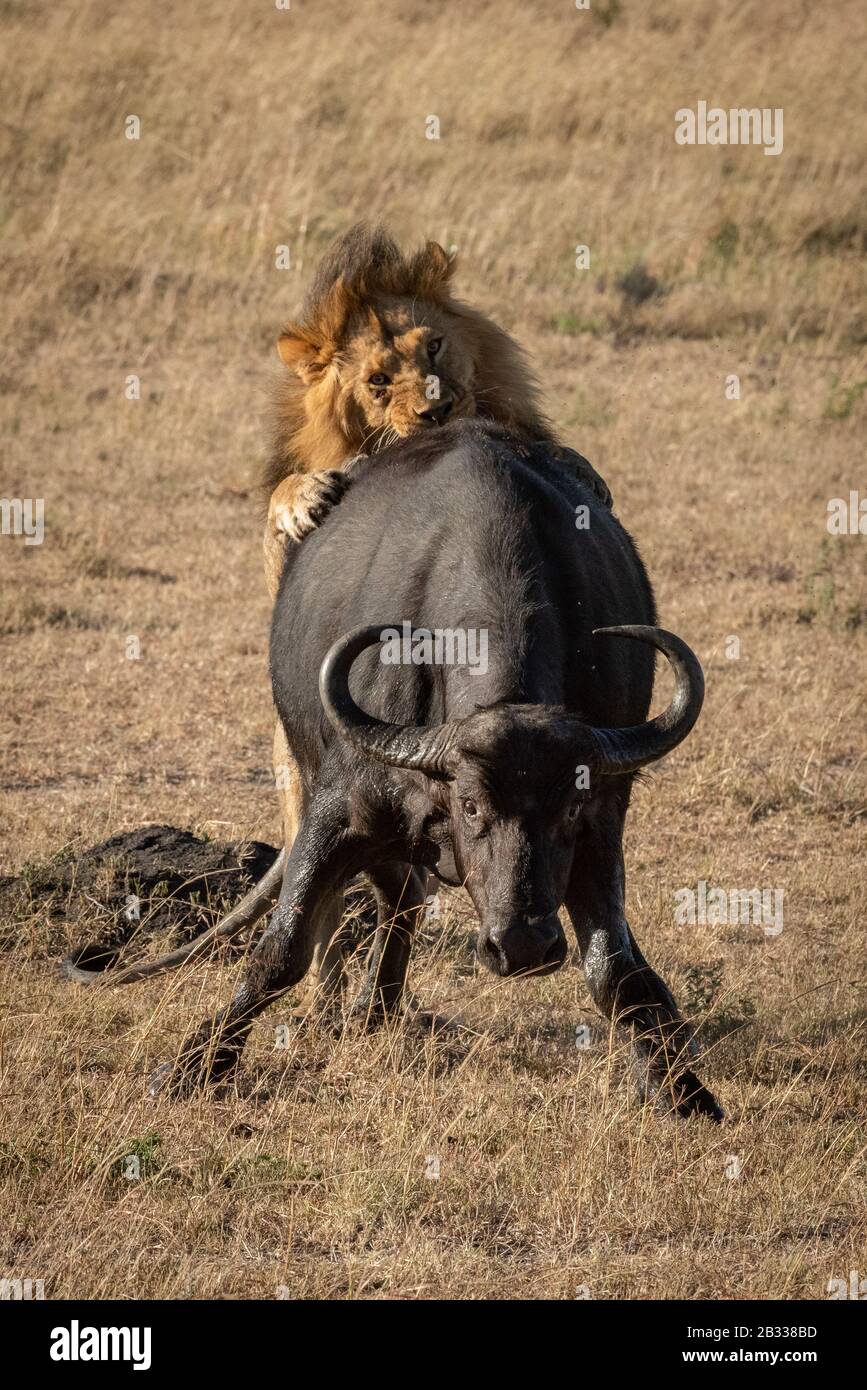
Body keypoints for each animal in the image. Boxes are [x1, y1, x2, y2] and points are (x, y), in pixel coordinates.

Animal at [261, 224, 612, 1020]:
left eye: (436, 350)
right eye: (377, 381)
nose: (437, 410)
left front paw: (583, 469)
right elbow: (284, 500)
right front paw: (304, 497)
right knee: (327, 905)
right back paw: (325, 1004)